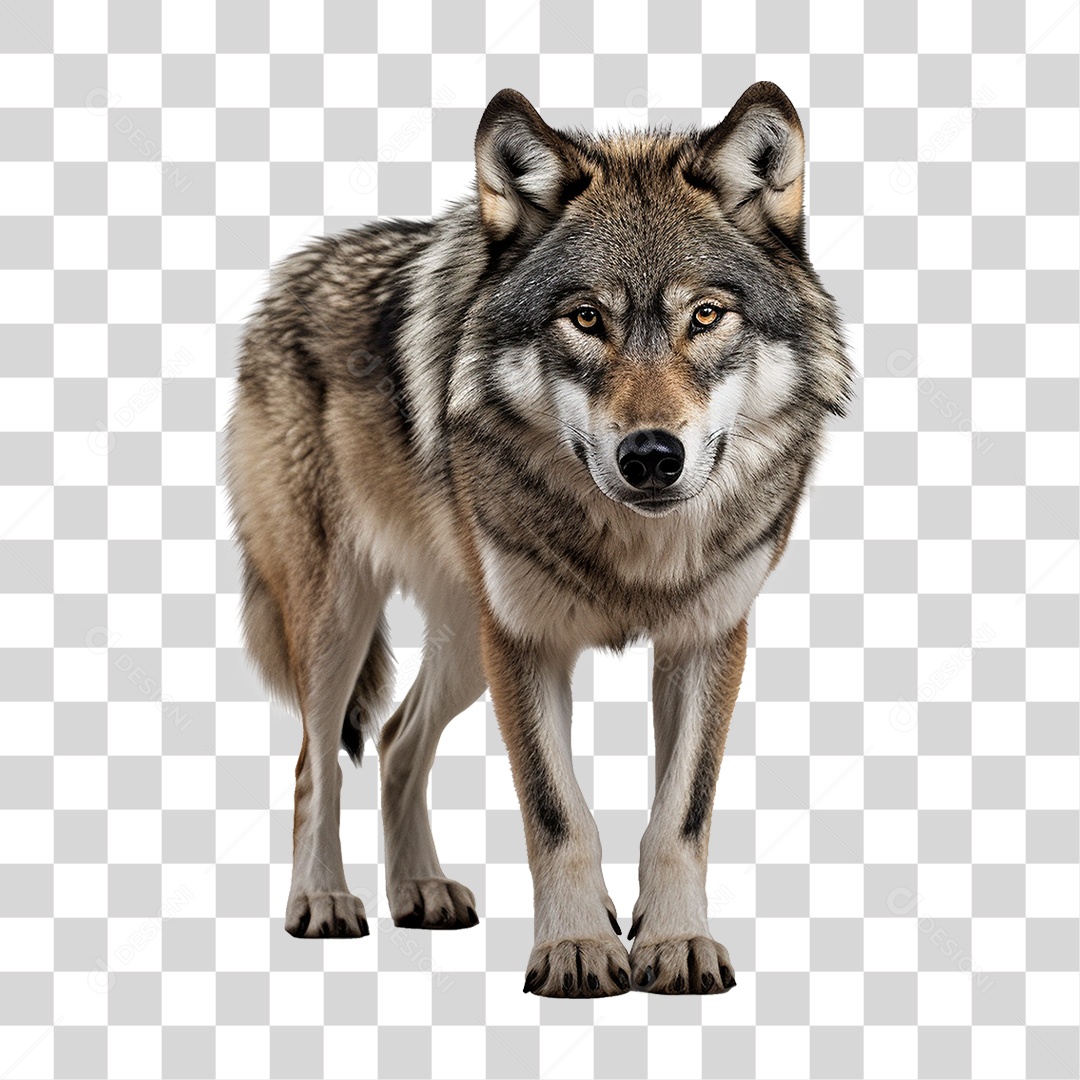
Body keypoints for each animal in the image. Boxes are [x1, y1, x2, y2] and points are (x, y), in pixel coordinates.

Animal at [225, 81, 854, 997]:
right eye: (585, 318)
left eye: (705, 315)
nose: (651, 456)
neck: (634, 550)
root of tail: (285, 279)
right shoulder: (525, 641)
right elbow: (559, 815)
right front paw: (577, 948)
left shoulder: (706, 638)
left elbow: (680, 816)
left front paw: (674, 942)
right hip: (343, 619)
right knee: (318, 758)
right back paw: (323, 901)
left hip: (463, 644)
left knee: (396, 738)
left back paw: (420, 891)